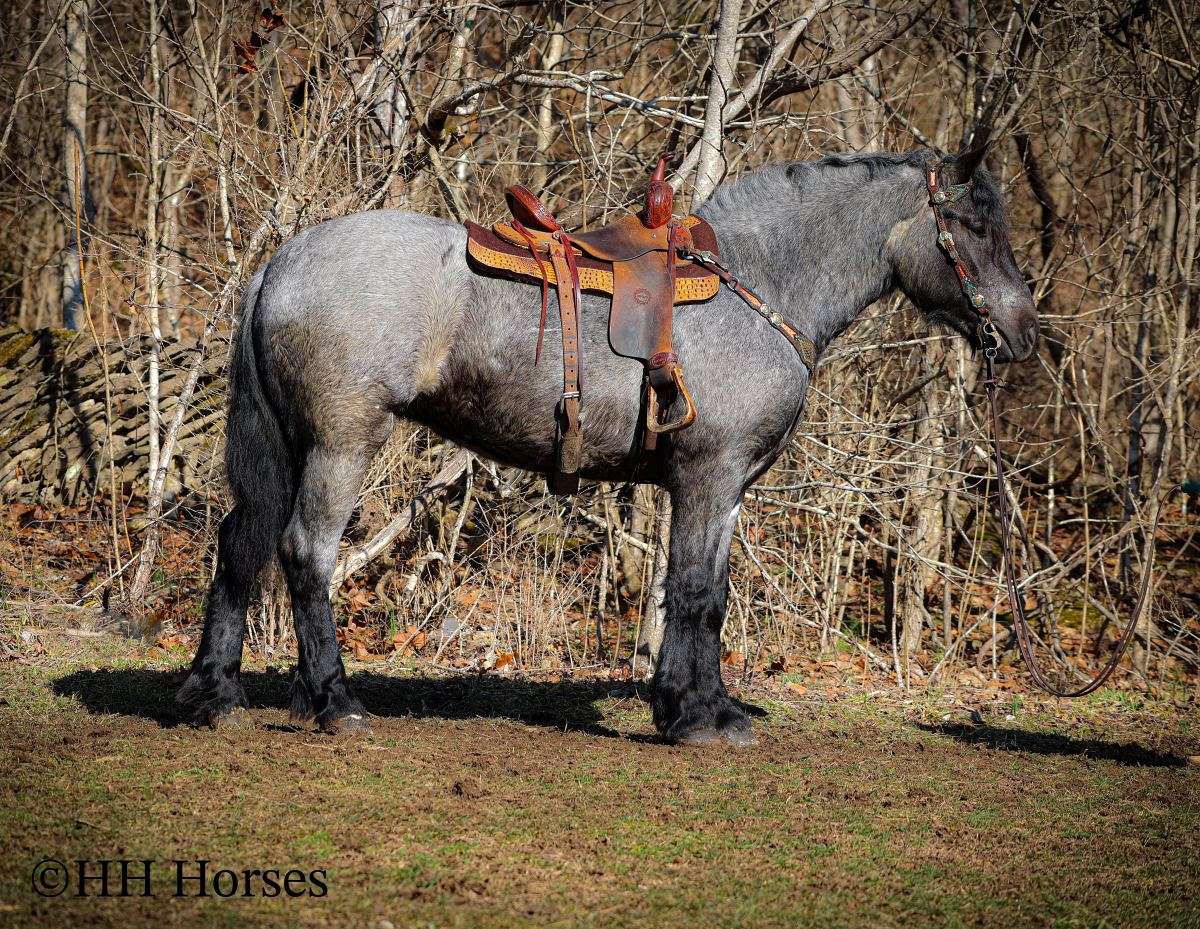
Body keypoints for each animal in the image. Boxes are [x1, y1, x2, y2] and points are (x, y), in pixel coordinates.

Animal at [177, 143, 1038, 746]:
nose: (1025, 332)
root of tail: (282, 263)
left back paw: (215, 693)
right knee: (305, 551)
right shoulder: (707, 477)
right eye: (977, 227)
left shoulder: (724, 491)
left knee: (240, 542)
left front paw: (706, 705)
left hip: (286, 448)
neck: (757, 283)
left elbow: (710, 594)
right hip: (342, 441)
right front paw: (692, 717)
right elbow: (693, 592)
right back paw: (336, 702)